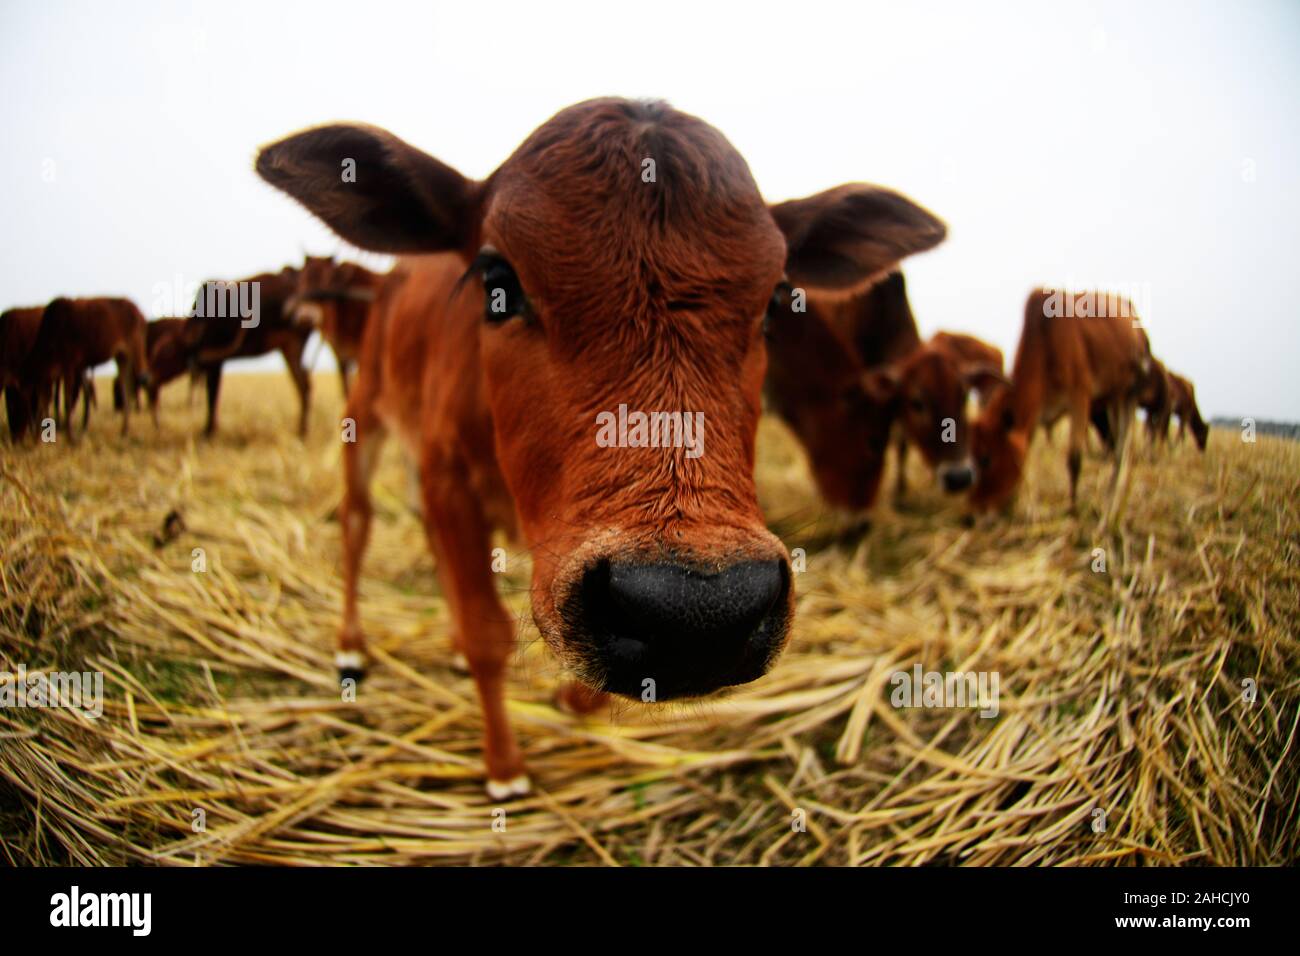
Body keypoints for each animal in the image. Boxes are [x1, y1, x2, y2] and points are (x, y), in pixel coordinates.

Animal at [24, 297, 149, 440]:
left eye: (32, 397)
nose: (33, 431)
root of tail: (139, 313)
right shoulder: (77, 367)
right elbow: (80, 396)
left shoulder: (69, 363)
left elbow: (67, 400)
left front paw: (71, 436)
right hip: (121, 356)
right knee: (126, 388)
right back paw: (124, 430)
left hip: (135, 347)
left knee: (141, 379)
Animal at [183, 267, 313, 437]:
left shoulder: (214, 361)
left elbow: (212, 395)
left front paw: (208, 432)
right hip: (290, 347)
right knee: (303, 384)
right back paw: (301, 431)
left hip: (292, 345)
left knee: (304, 384)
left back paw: (302, 431)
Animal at [256, 98, 949, 796]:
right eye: (496, 280)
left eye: (776, 301)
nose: (698, 611)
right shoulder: (447, 474)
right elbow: (487, 633)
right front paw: (504, 766)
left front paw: (572, 700)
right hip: (364, 411)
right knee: (357, 522)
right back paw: (351, 645)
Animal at [969, 289, 1152, 514]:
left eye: (986, 460)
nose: (972, 514)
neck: (1047, 344)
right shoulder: (1036, 413)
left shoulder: (1080, 398)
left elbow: (1074, 459)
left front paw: (1073, 507)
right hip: (1114, 396)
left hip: (1129, 394)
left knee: (1122, 448)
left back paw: (1114, 492)